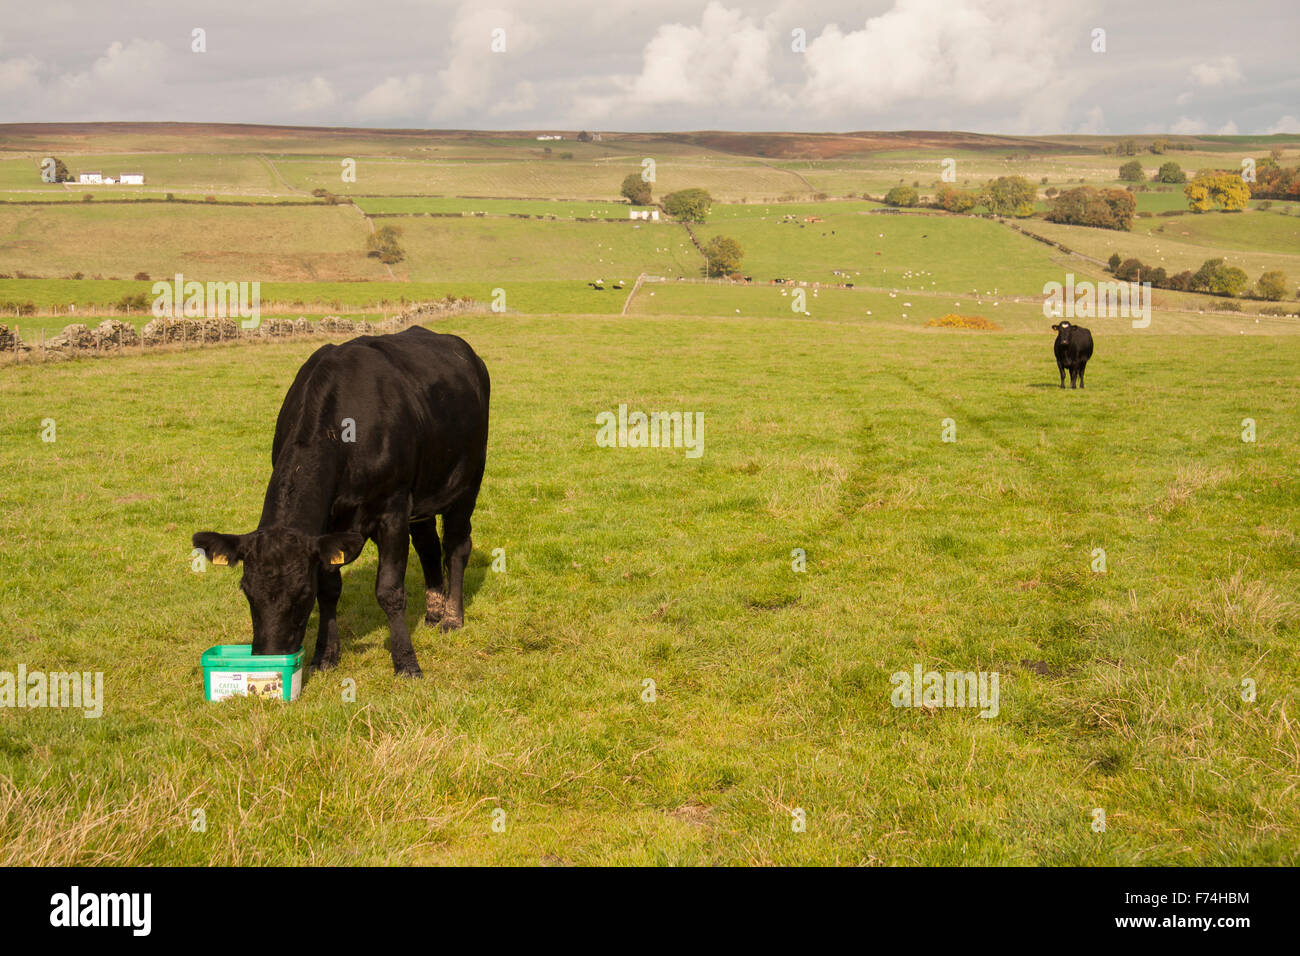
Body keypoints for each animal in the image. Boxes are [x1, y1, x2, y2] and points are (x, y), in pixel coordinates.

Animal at [193, 327, 490, 677]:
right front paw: (325, 655)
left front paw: (406, 661)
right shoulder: (328, 529)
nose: (271, 656)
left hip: (467, 483)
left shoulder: (393, 511)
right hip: (423, 496)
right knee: (428, 545)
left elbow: (390, 590)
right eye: (246, 590)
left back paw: (452, 618)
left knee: (456, 547)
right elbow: (330, 589)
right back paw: (433, 613)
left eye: (302, 593)